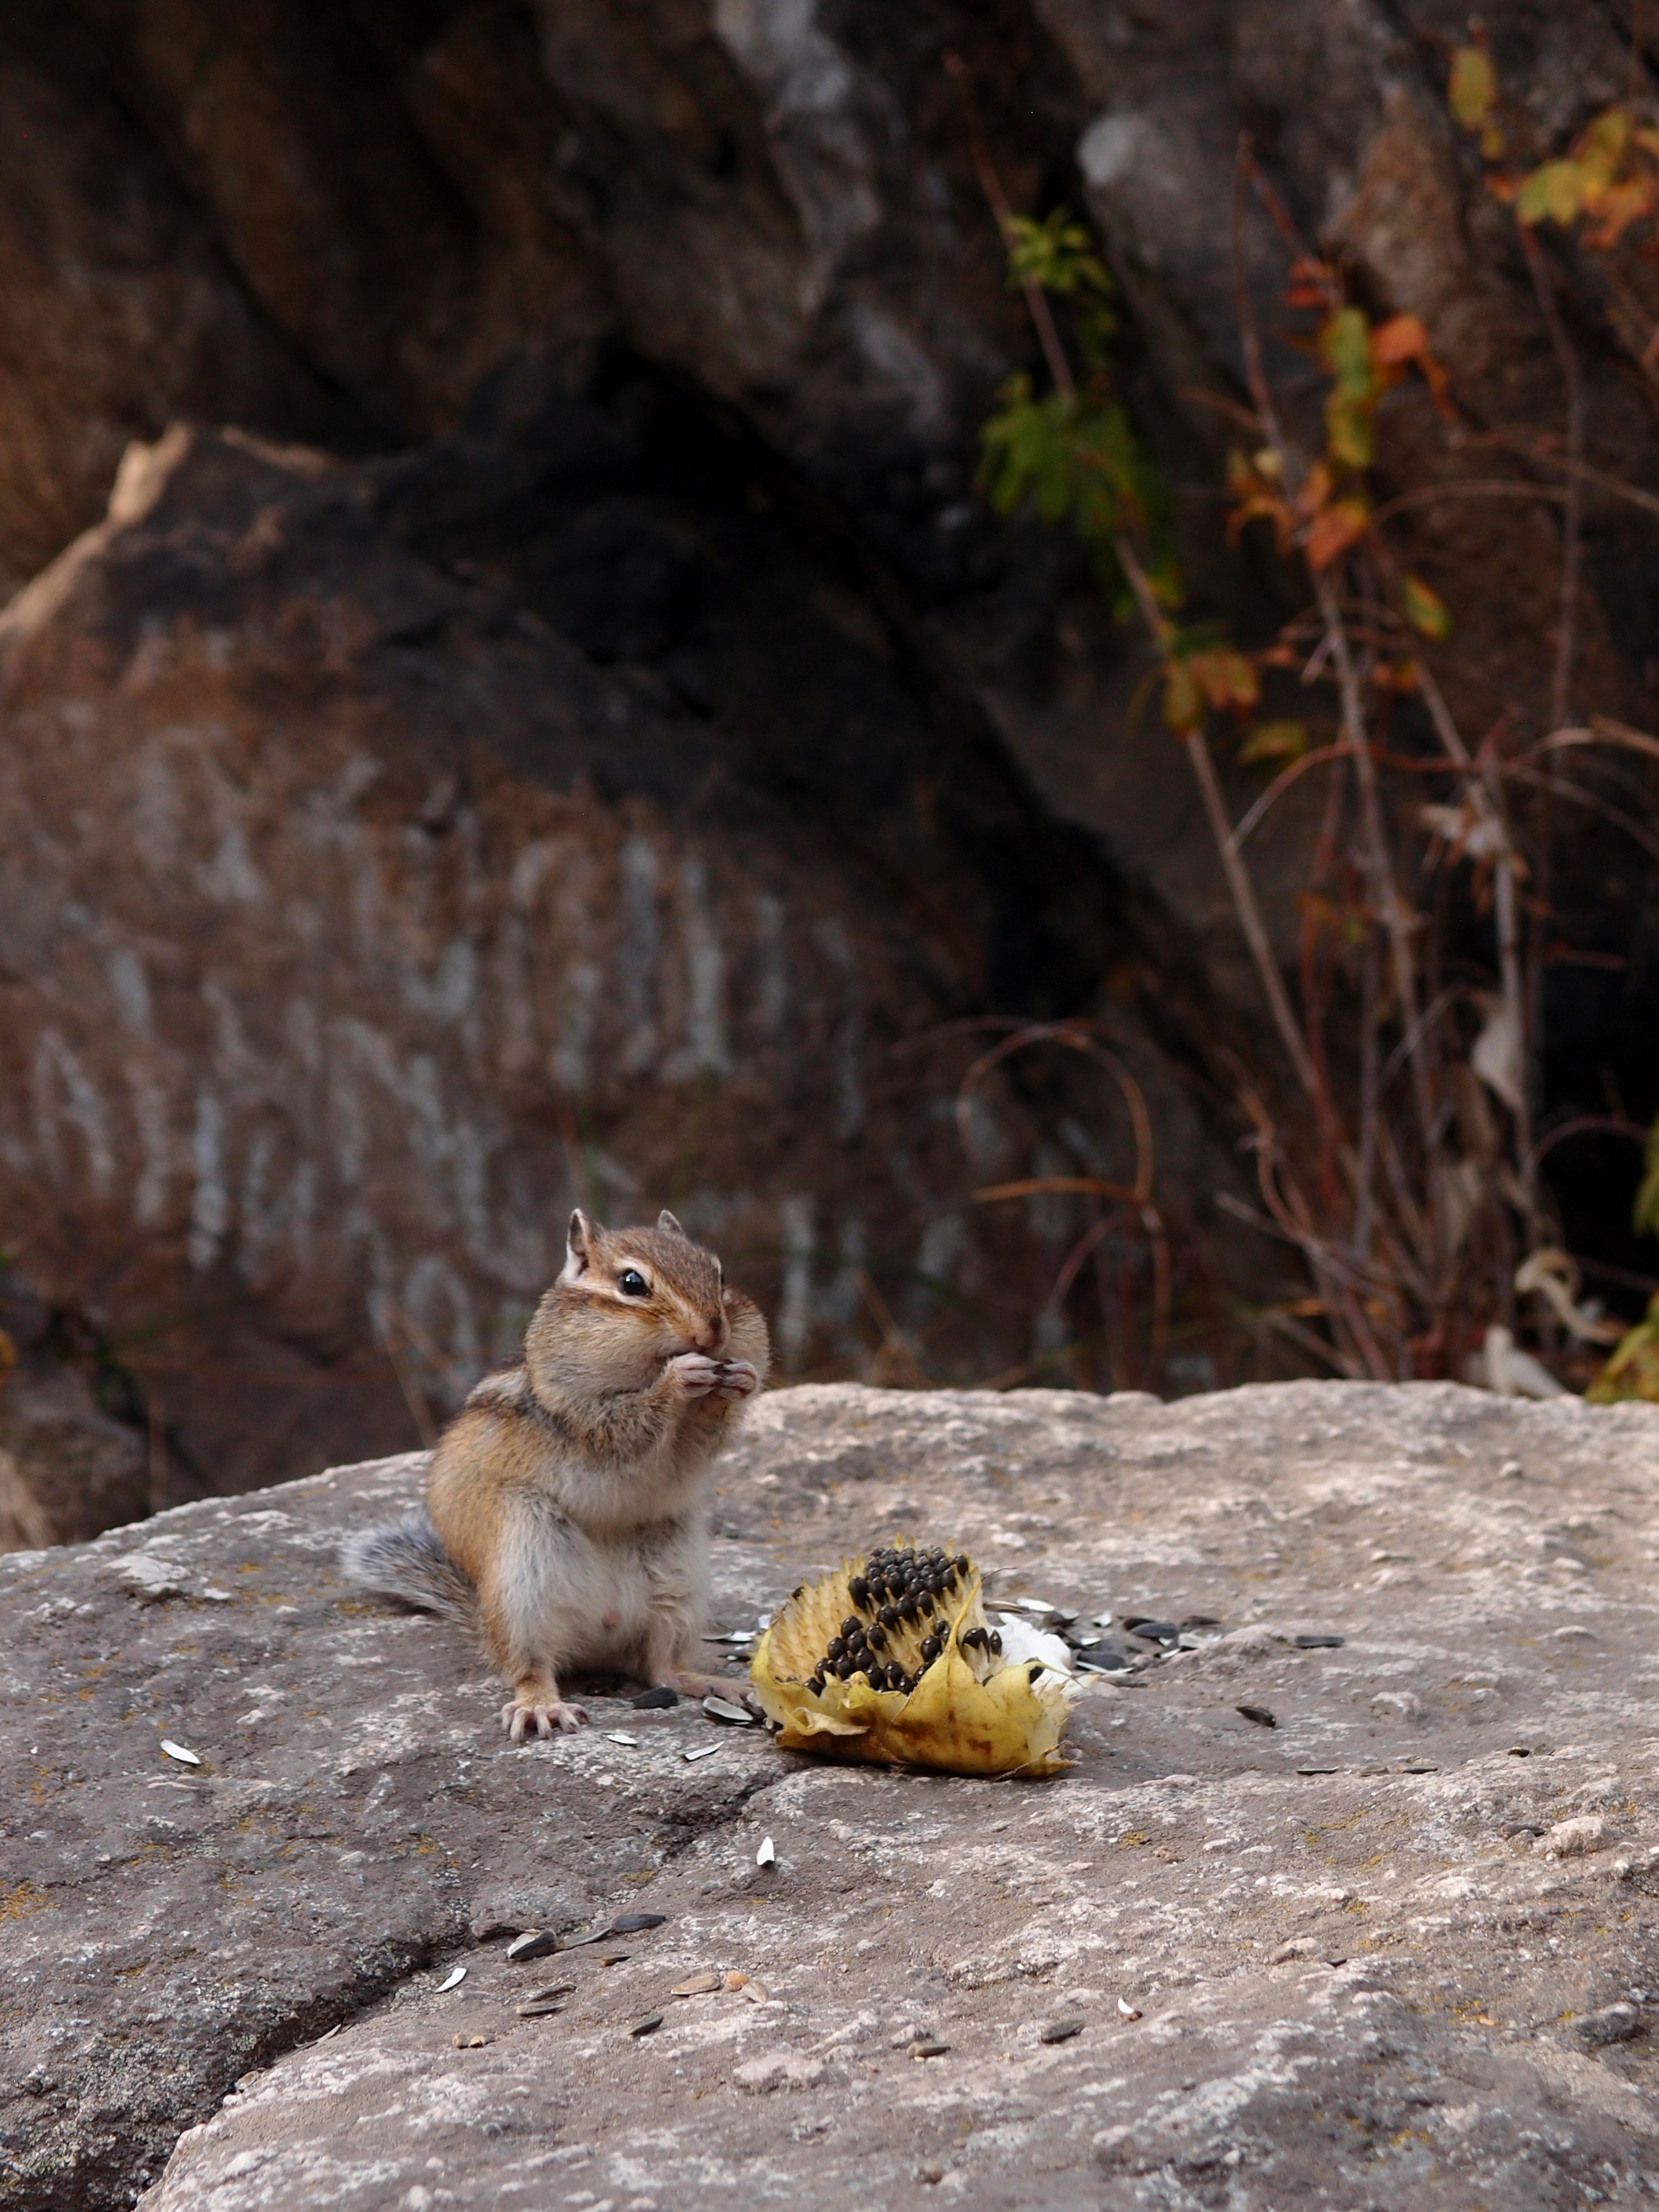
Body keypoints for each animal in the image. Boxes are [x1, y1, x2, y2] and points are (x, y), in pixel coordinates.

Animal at [341, 1208, 769, 1739]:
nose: (712, 1335)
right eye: (632, 1283)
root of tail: (600, 1638)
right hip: (523, 1577)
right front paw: (680, 1378)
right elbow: (627, 1428)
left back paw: (714, 1684)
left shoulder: (689, 1447)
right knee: (531, 1666)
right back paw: (541, 1705)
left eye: (721, 1276)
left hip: (679, 1579)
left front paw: (741, 1379)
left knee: (662, 1666)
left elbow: (699, 1445)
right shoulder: (579, 1414)